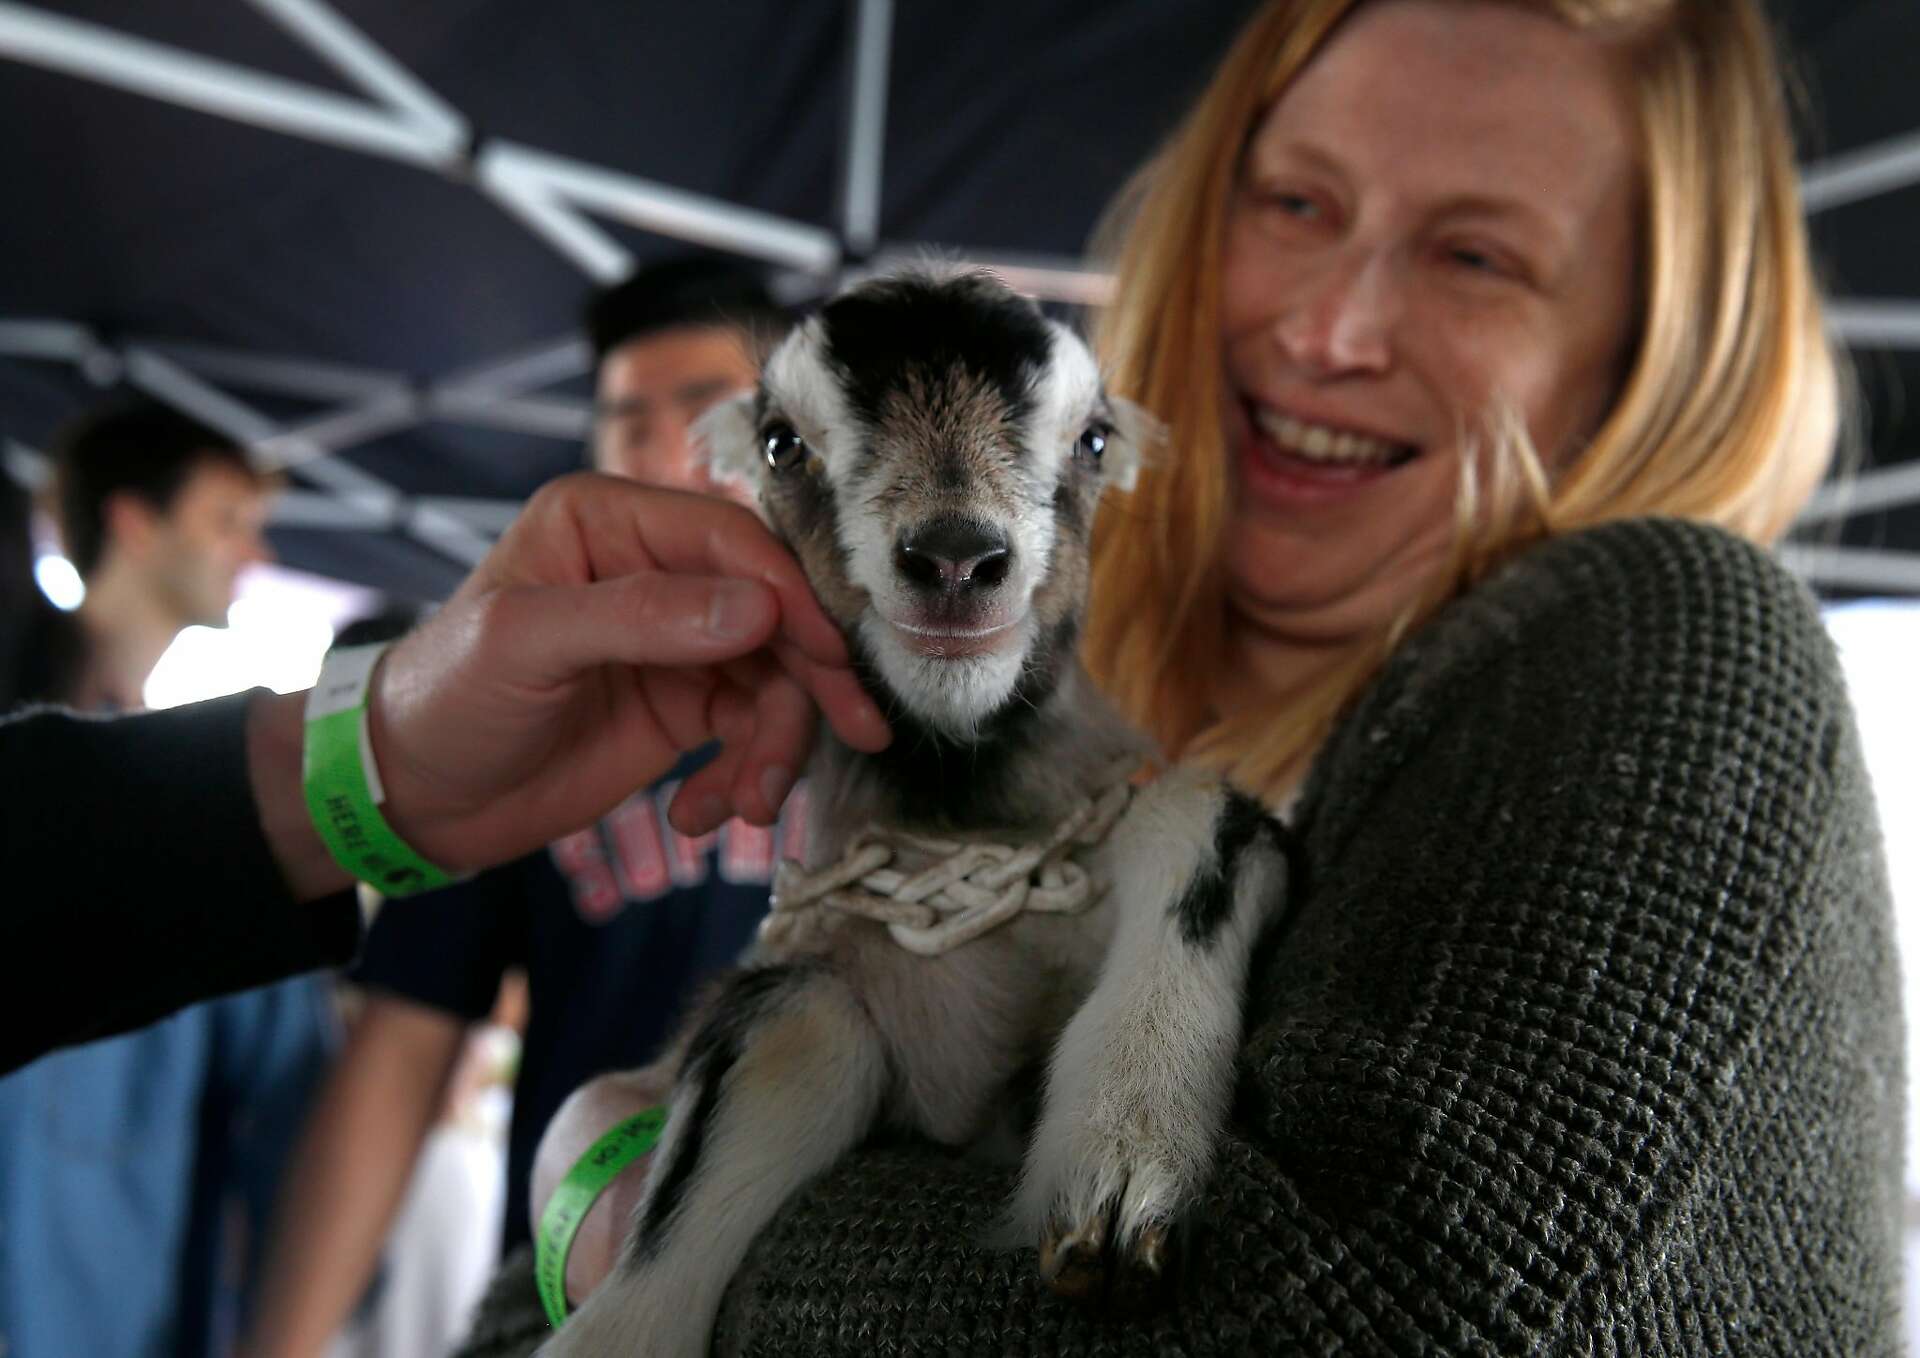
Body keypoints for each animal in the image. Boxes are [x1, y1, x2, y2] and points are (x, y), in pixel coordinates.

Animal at [537, 269, 1293, 1356]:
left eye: (1093, 439)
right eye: (781, 441)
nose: (955, 557)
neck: (960, 827)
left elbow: (1195, 809)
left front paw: (1126, 1149)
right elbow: (792, 1029)